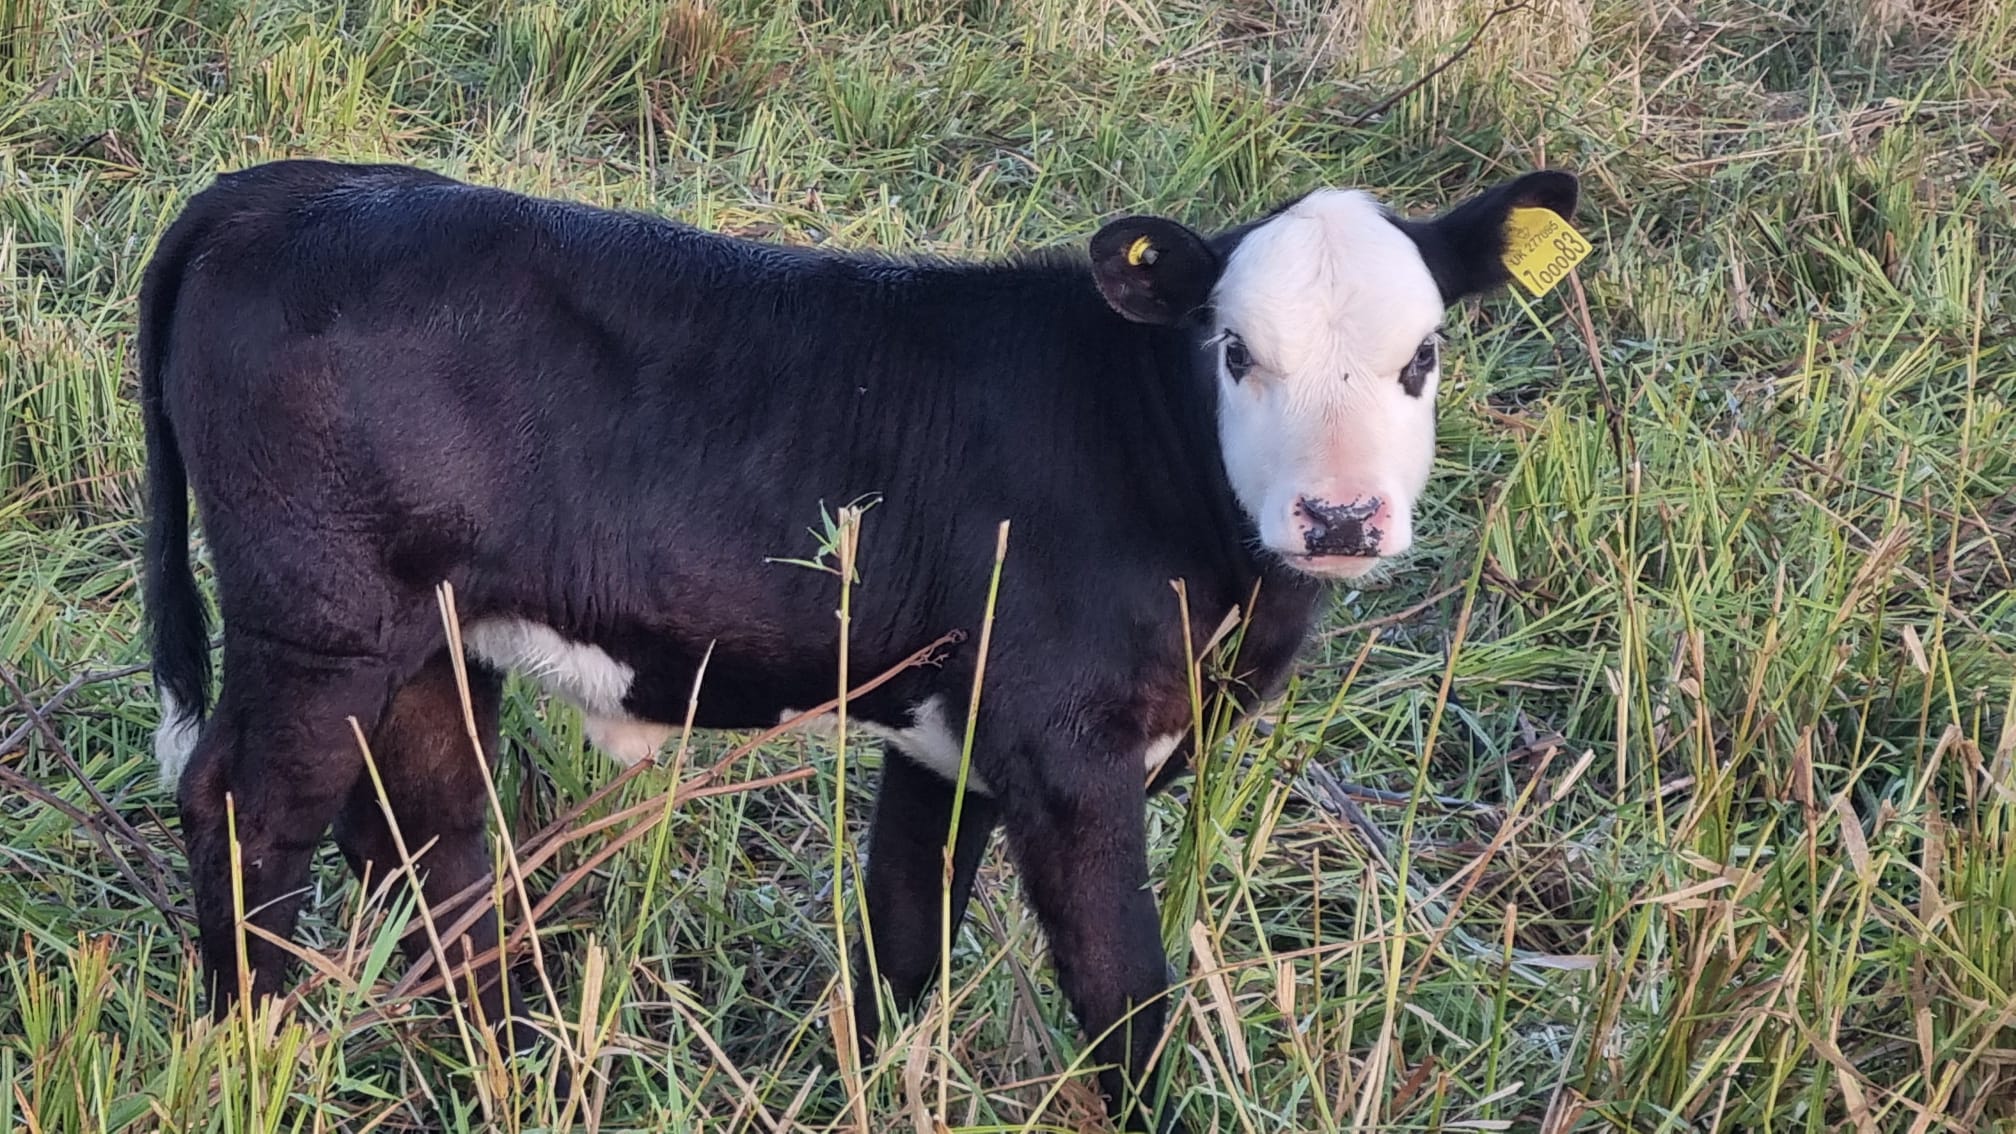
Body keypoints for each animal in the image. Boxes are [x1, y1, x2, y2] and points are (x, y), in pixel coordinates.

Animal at [140, 158, 1578, 1131]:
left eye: (1423, 357)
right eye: (1234, 350)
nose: (1340, 518)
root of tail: (296, 186)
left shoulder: (951, 739)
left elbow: (905, 933)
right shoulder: (1068, 748)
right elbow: (1121, 985)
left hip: (430, 638)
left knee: (430, 835)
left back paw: (518, 1063)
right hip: (318, 623)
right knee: (248, 812)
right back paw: (250, 1053)